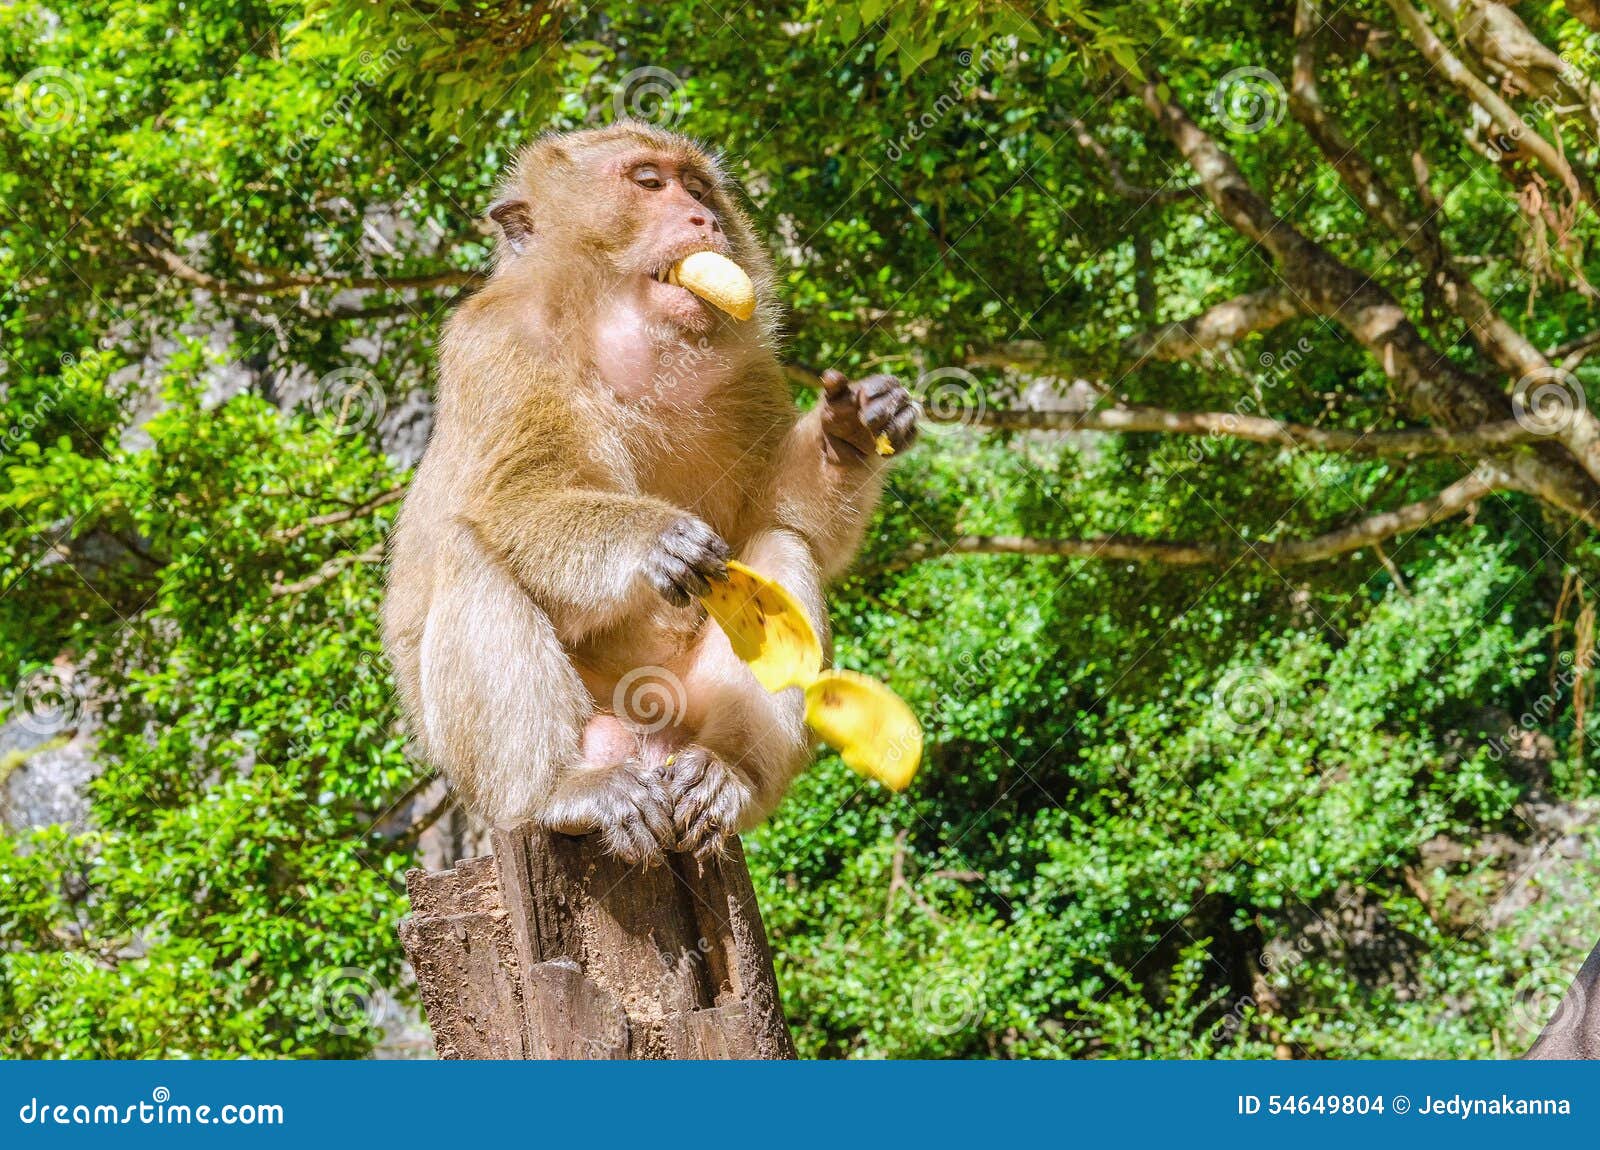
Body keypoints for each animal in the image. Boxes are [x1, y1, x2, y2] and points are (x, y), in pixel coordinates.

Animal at [381, 122, 917, 865]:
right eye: (648, 183)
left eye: (697, 187)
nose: (704, 220)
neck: (625, 340)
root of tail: (643, 735)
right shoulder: (498, 347)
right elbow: (514, 497)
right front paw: (654, 540)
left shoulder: (750, 369)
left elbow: (781, 520)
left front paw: (851, 430)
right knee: (472, 546)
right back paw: (559, 791)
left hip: (684, 710)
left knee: (776, 547)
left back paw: (727, 775)